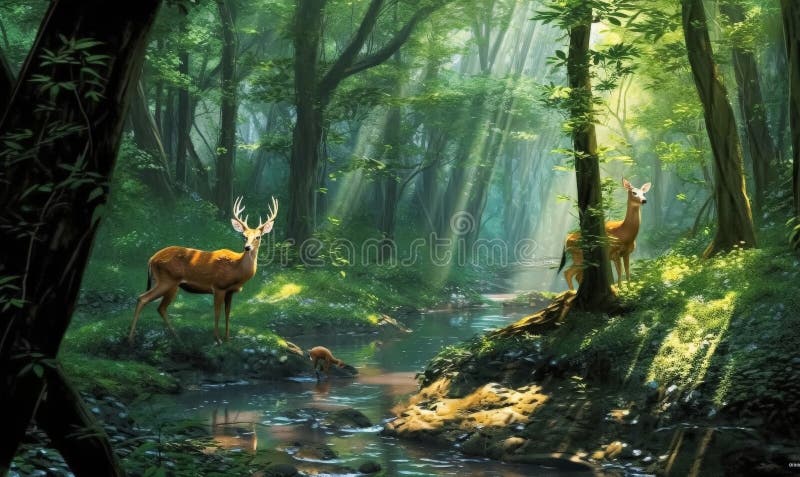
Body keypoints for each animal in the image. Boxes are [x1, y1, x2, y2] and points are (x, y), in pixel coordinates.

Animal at [127, 196, 278, 345]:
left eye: (258, 237)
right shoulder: (218, 287)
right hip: (167, 280)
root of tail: (151, 259)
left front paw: (227, 339)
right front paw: (217, 339)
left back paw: (177, 338)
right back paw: (131, 338)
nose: (247, 247)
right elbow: (217, 312)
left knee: (160, 307)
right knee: (144, 299)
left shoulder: (230, 292)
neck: (236, 268)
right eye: (244, 236)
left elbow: (228, 313)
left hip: (168, 283)